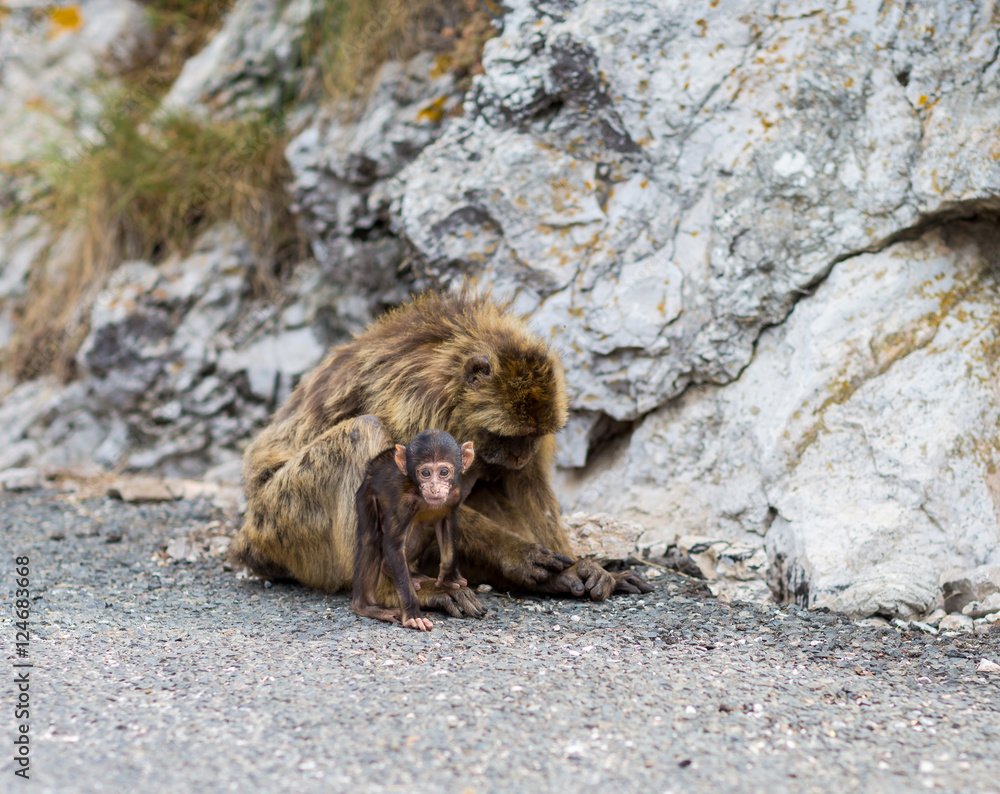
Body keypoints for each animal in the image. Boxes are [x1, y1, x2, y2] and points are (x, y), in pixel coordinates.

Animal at [352, 429, 475, 631]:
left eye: (443, 472)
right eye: (425, 473)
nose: (434, 488)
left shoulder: (454, 496)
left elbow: (447, 525)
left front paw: (449, 578)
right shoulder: (404, 503)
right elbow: (394, 547)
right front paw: (412, 615)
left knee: (423, 528)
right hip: (366, 493)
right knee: (371, 540)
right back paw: (365, 606)